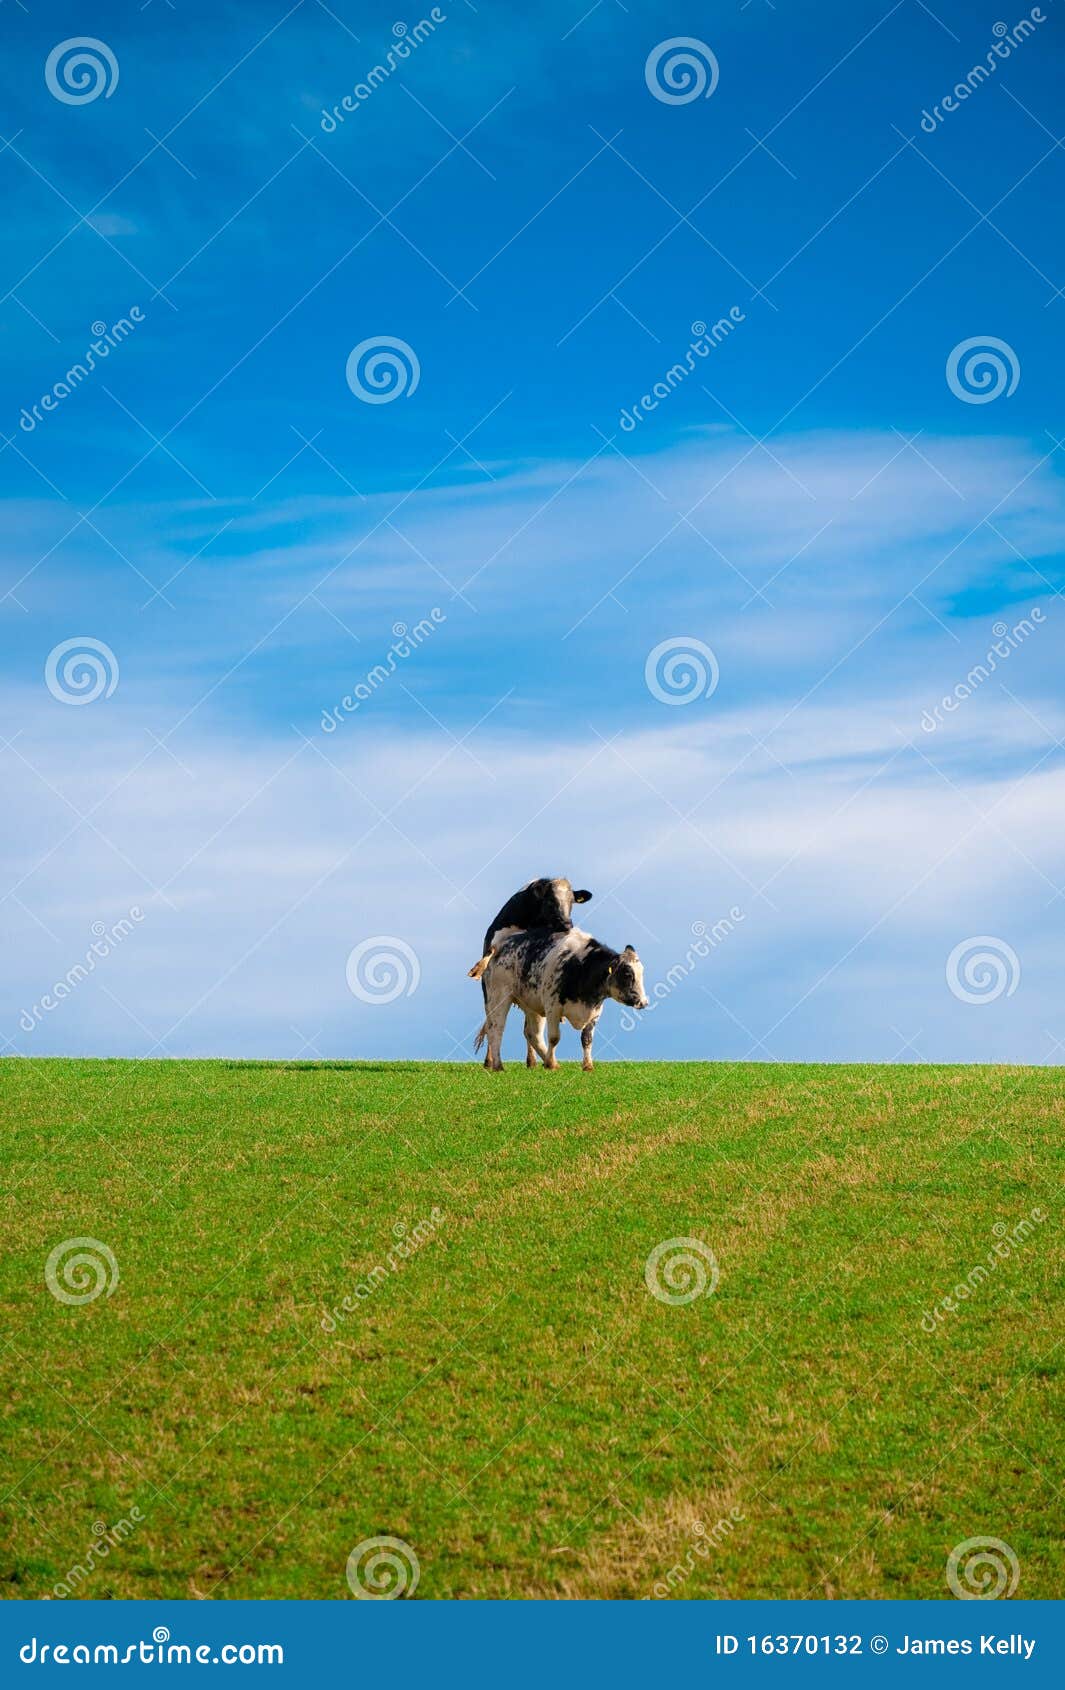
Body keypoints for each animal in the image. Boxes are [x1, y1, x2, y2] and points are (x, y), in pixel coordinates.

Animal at [474, 927, 648, 1072]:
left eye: (641, 972)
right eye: (627, 974)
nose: (643, 1002)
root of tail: (499, 944)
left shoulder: (595, 1013)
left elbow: (587, 1039)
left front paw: (587, 1066)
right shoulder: (553, 1007)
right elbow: (554, 1037)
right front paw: (550, 1064)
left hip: (531, 1004)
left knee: (532, 1034)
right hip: (498, 996)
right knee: (496, 1029)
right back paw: (498, 1066)